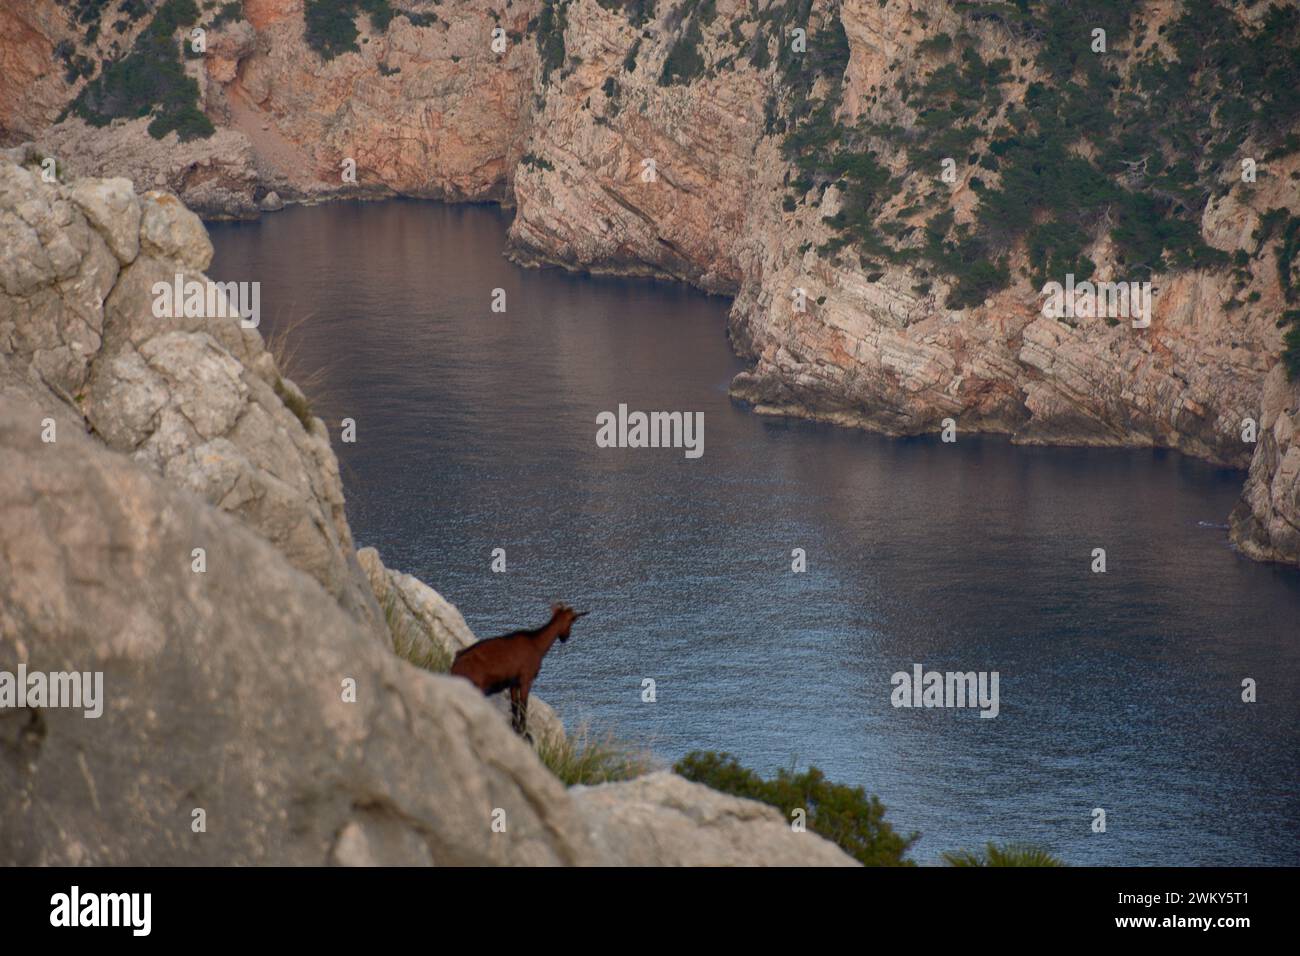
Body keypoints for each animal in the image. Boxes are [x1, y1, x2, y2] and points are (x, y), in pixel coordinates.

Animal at [450, 603, 588, 741]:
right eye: (572, 620)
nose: (565, 637)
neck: (537, 644)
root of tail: (455, 666)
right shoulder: (526, 679)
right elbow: (523, 706)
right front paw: (525, 733)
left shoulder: (513, 682)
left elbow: (515, 706)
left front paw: (516, 729)